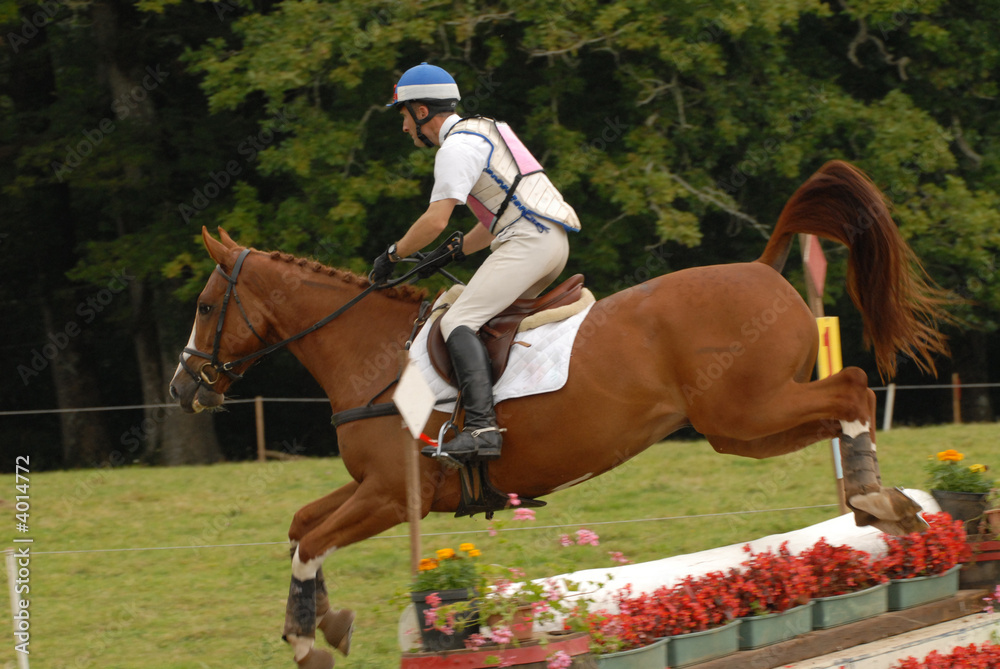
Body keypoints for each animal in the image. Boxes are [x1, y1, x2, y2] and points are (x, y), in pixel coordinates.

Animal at [168, 160, 949, 669]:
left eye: (205, 307)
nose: (182, 389)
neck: (371, 352)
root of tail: (761, 266)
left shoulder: (391, 495)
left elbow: (310, 538)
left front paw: (309, 636)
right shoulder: (374, 488)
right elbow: (301, 525)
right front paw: (325, 620)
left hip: (749, 406)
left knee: (851, 388)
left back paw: (879, 500)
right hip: (742, 428)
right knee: (837, 410)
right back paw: (881, 504)